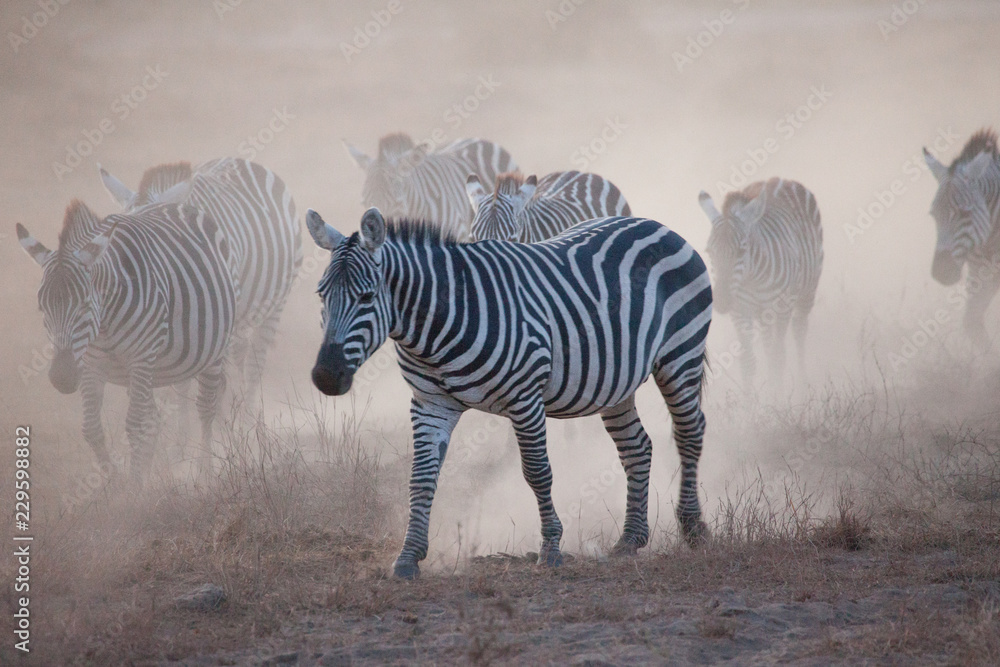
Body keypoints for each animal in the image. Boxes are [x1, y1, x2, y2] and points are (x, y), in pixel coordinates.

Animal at [16, 200, 237, 481]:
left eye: (85, 304)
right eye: (41, 308)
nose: (61, 378)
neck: (104, 324)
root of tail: (173, 203)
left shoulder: (139, 358)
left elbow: (135, 427)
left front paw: (134, 487)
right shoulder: (90, 364)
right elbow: (91, 428)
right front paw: (115, 483)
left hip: (213, 351)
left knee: (206, 408)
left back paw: (205, 473)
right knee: (155, 419)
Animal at [306, 206, 713, 579]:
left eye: (366, 297)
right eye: (321, 295)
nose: (325, 377)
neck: (437, 327)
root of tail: (653, 222)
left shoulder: (525, 397)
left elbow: (537, 471)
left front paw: (550, 549)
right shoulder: (429, 404)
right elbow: (420, 477)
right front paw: (408, 557)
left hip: (680, 355)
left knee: (690, 432)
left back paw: (693, 527)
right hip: (615, 381)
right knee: (636, 447)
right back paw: (630, 539)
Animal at [697, 178, 823, 386]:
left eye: (741, 251)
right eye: (709, 252)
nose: (722, 302)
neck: (751, 279)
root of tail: (780, 179)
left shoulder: (781, 307)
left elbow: (778, 356)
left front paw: (777, 394)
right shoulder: (739, 312)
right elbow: (748, 361)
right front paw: (751, 396)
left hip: (807, 291)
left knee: (799, 331)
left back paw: (803, 381)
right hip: (763, 313)